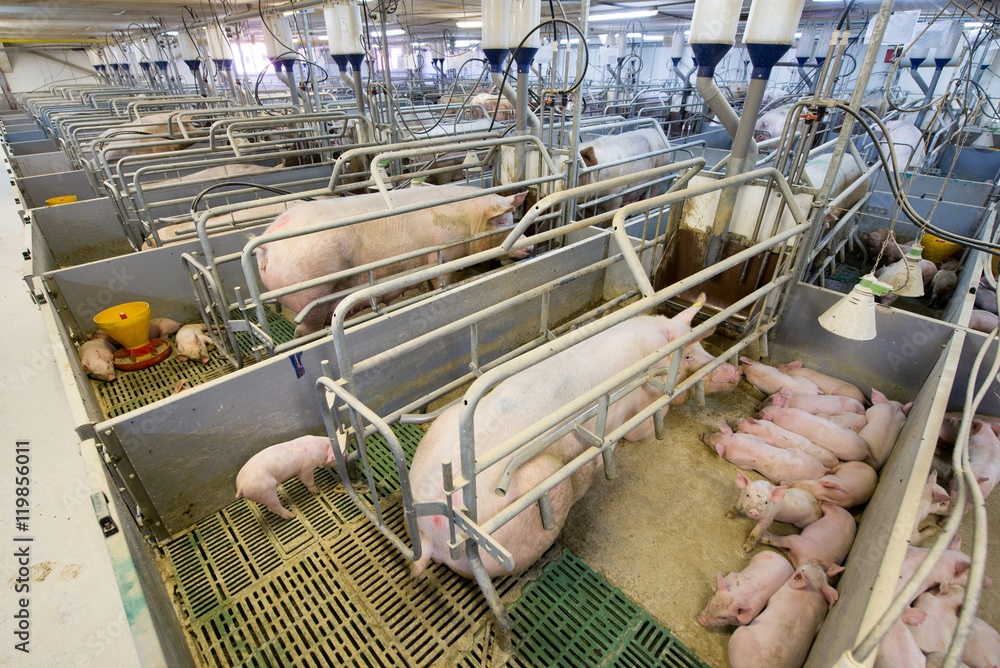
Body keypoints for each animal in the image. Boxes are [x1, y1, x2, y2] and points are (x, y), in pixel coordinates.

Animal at [256, 185, 530, 336]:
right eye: (502, 222)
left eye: (513, 219)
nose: (530, 245)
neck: (469, 221)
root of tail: (266, 246)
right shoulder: (443, 256)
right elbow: (441, 282)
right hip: (310, 296)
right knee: (301, 331)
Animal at [409, 299, 730, 578]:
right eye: (688, 355)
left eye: (701, 345)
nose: (733, 372)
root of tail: (434, 525)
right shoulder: (634, 404)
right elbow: (645, 427)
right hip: (541, 494)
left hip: (445, 420)